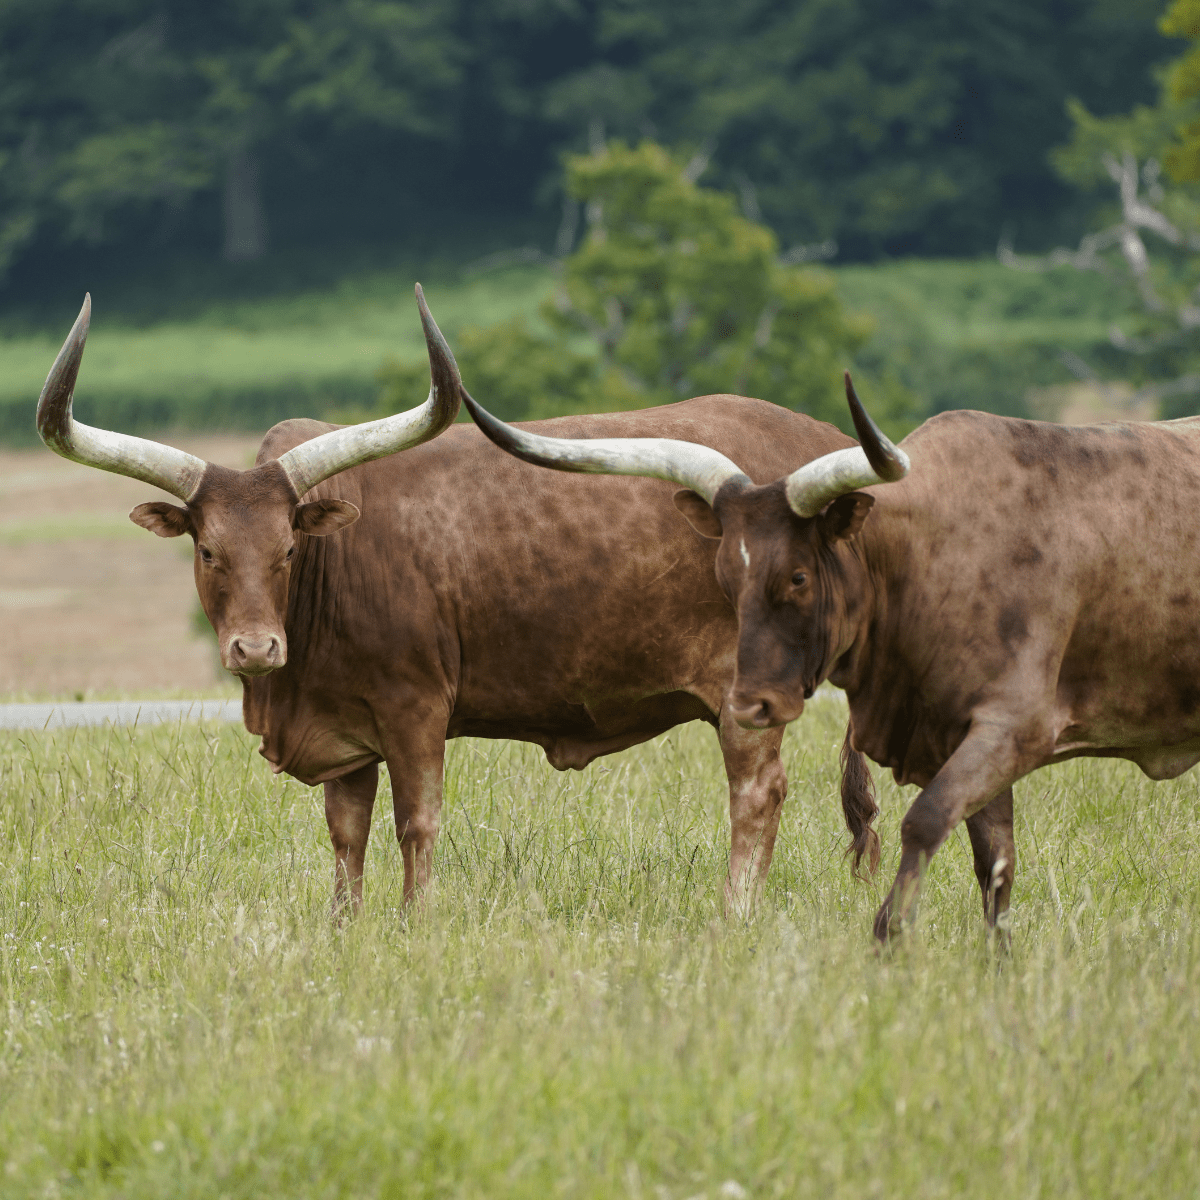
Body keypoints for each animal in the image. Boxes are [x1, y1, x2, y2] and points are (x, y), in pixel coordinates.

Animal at [36, 291, 872, 916]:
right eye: (208, 551)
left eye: (288, 550)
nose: (255, 648)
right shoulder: (347, 734)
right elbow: (347, 838)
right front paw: (345, 929)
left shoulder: (415, 708)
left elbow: (417, 823)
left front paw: (416, 923)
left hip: (747, 693)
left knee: (757, 793)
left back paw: (736, 912)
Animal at [461, 375, 1200, 943]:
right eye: (725, 577)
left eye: (797, 577)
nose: (748, 703)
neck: (930, 552)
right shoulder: (966, 735)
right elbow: (996, 867)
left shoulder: (1013, 728)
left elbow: (926, 821)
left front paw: (888, 940)